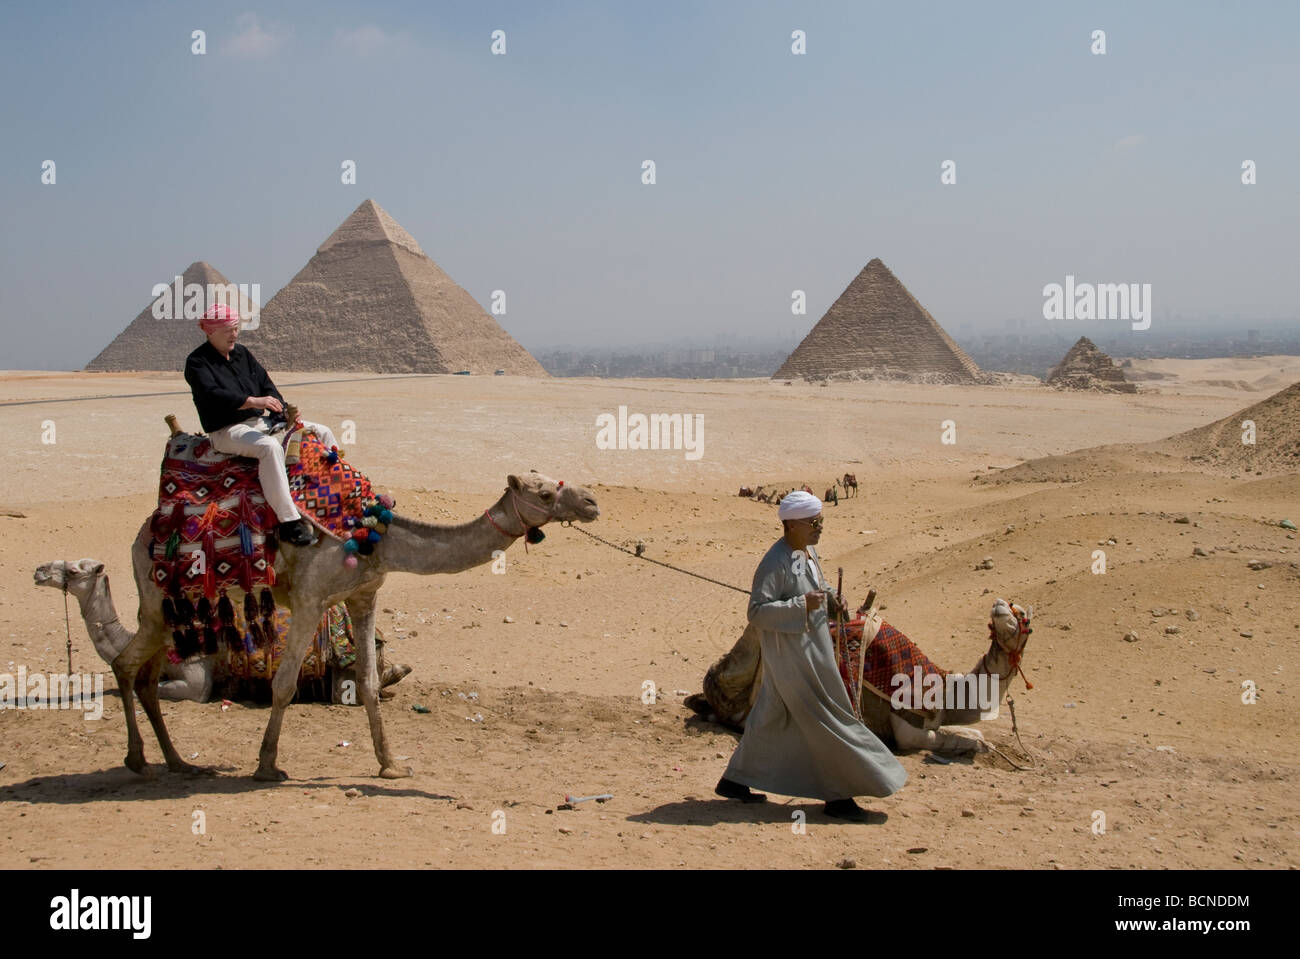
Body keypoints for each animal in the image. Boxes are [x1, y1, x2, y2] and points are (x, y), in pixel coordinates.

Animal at [686, 597, 1031, 754]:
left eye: (1024, 618)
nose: (1000, 606)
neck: (945, 690)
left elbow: (966, 731)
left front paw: (977, 738)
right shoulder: (907, 723)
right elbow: (934, 739)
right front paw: (979, 745)